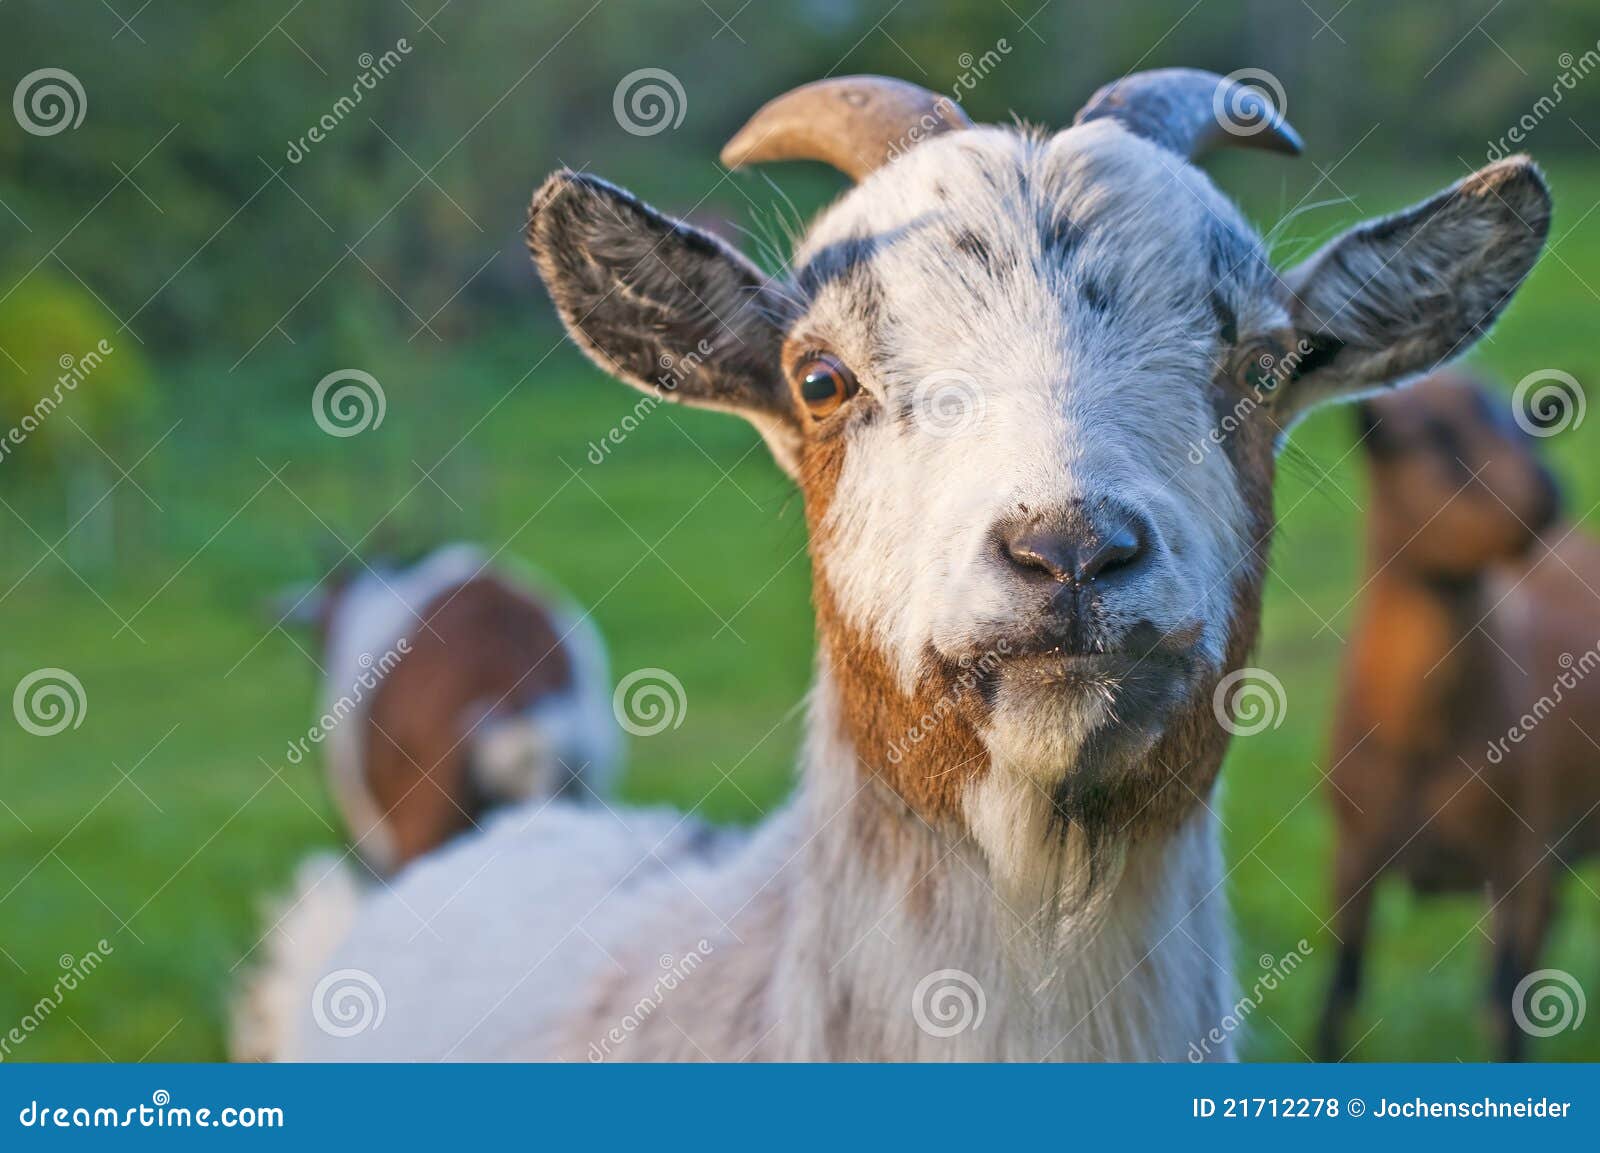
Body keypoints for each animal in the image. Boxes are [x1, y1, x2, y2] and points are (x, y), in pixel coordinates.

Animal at [1318, 372, 1597, 1061]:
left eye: (1530, 425)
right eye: (1432, 436)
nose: (1548, 488)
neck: (1422, 741)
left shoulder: (1519, 861)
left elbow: (1506, 1014)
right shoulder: (1352, 860)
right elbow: (1338, 1001)